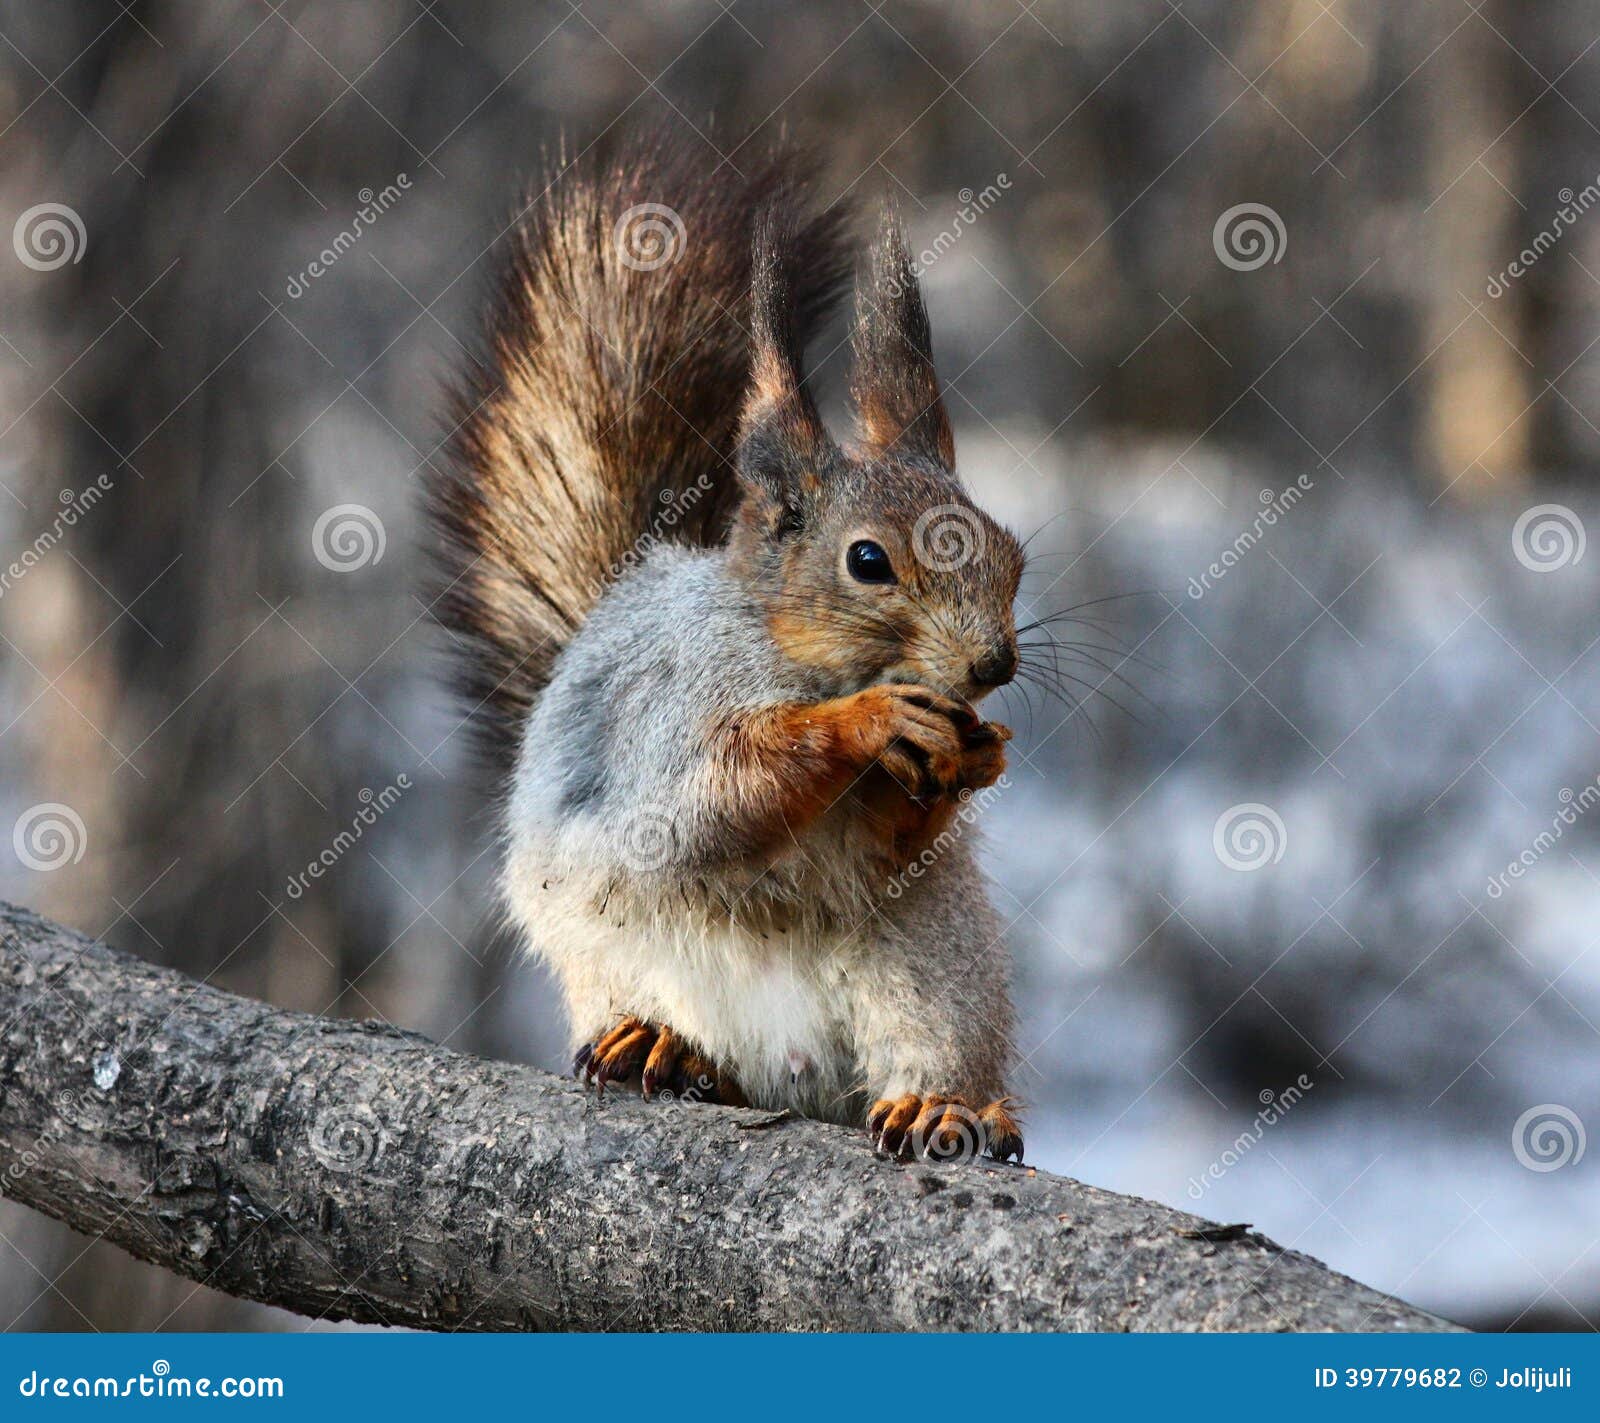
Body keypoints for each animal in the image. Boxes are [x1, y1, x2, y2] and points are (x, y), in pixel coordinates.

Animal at [429, 138, 1025, 1163]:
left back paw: (945, 1104)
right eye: (868, 560)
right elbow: (709, 805)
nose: (992, 668)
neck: (789, 652)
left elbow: (882, 851)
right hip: (608, 952)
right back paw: (656, 1043)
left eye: (1012, 551)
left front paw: (977, 757)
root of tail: (792, 1072)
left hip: (934, 965)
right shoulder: (665, 720)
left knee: (929, 1039)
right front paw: (866, 721)